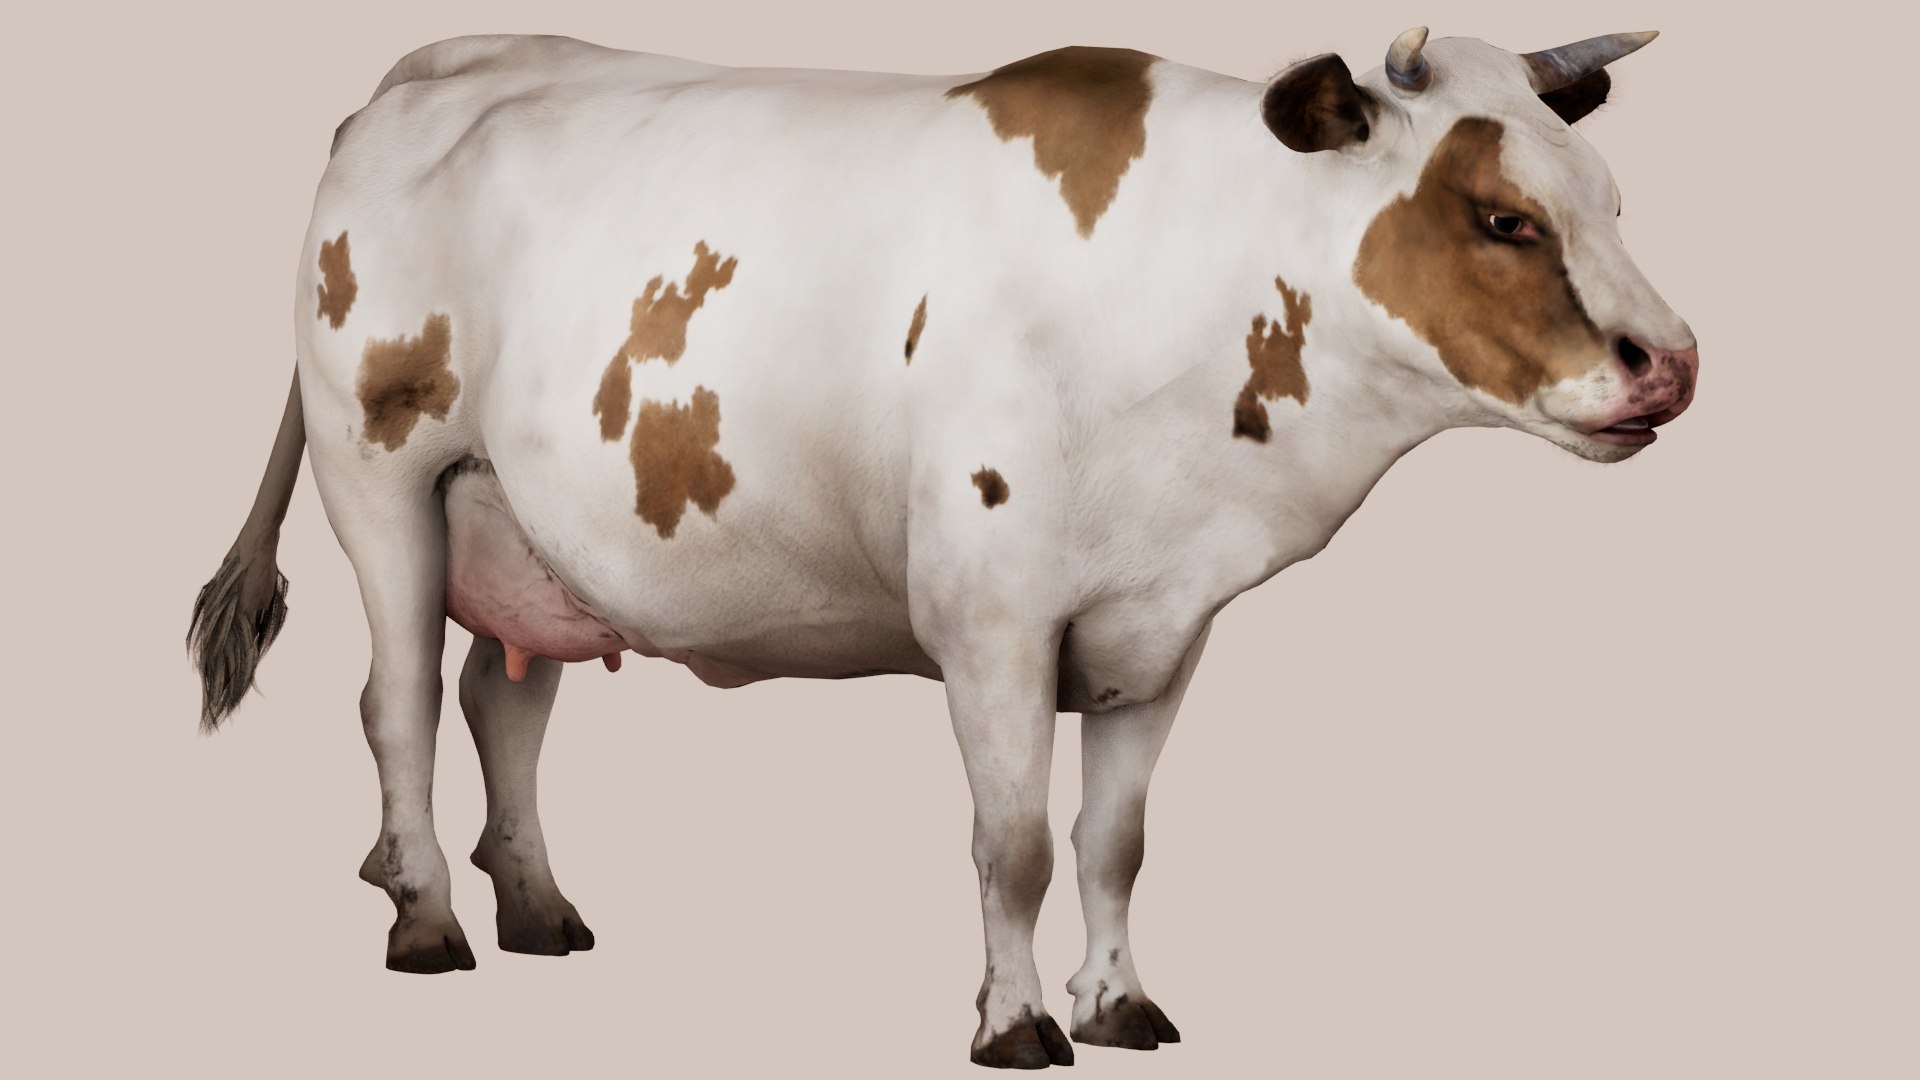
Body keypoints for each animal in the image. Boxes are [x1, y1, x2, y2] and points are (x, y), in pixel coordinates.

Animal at [188, 27, 1698, 1068]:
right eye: (1503, 217)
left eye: (1615, 201)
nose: (1672, 362)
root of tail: (436, 67)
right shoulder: (990, 616)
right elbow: (1014, 844)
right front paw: (1015, 1023)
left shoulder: (1163, 626)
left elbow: (1114, 840)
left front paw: (1121, 1001)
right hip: (382, 476)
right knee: (399, 703)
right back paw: (429, 919)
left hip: (524, 519)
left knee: (501, 697)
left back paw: (541, 905)